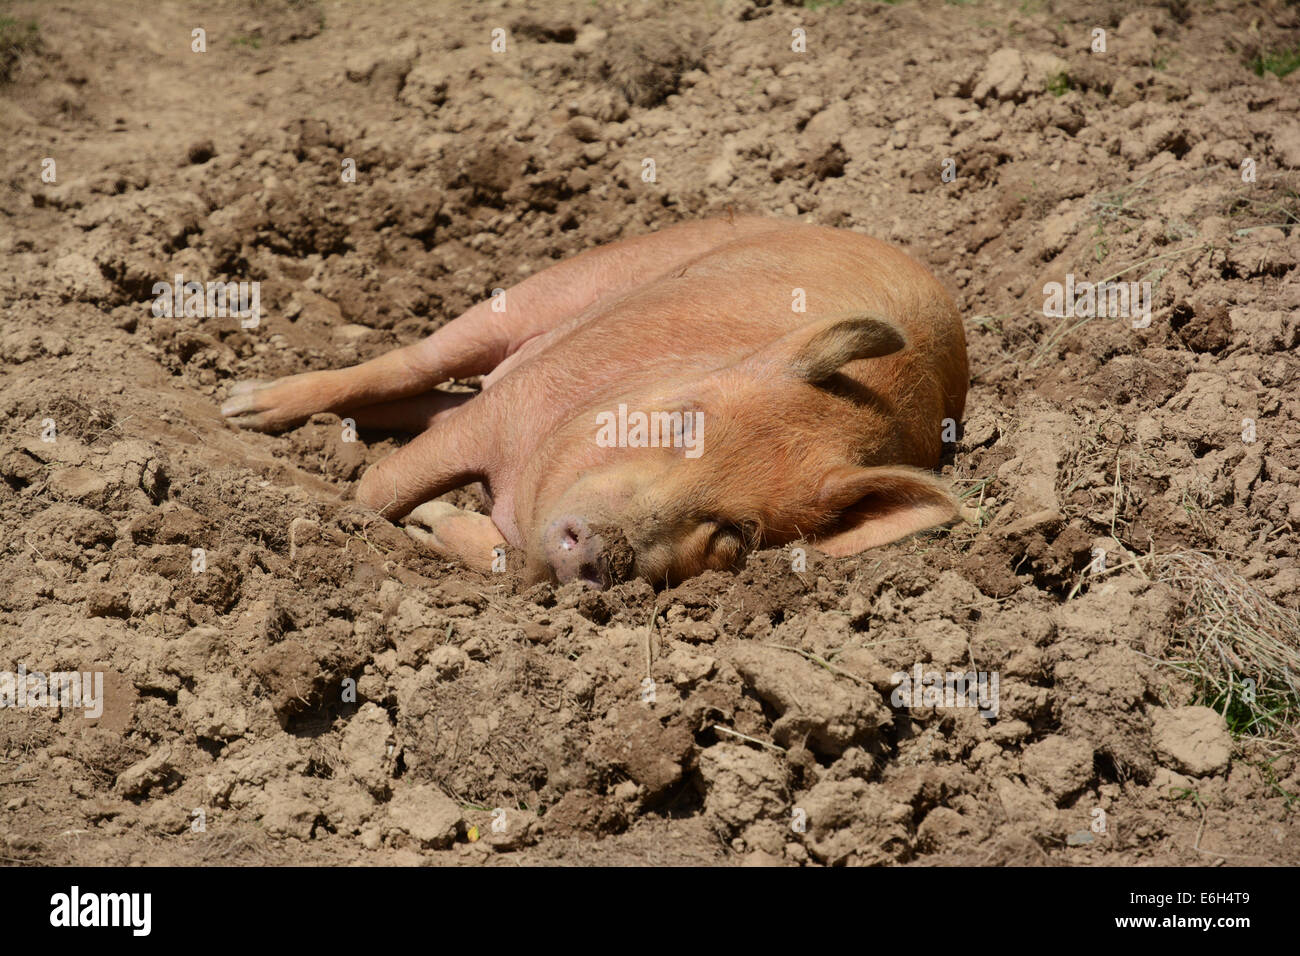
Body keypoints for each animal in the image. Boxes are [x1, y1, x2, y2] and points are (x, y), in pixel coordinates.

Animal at [221, 216, 970, 587]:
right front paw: (355, 509)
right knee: (420, 364)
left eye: (737, 534)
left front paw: (431, 526)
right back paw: (241, 407)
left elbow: (513, 567)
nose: (603, 551)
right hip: (563, 284)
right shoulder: (513, 406)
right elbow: (382, 486)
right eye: (684, 422)